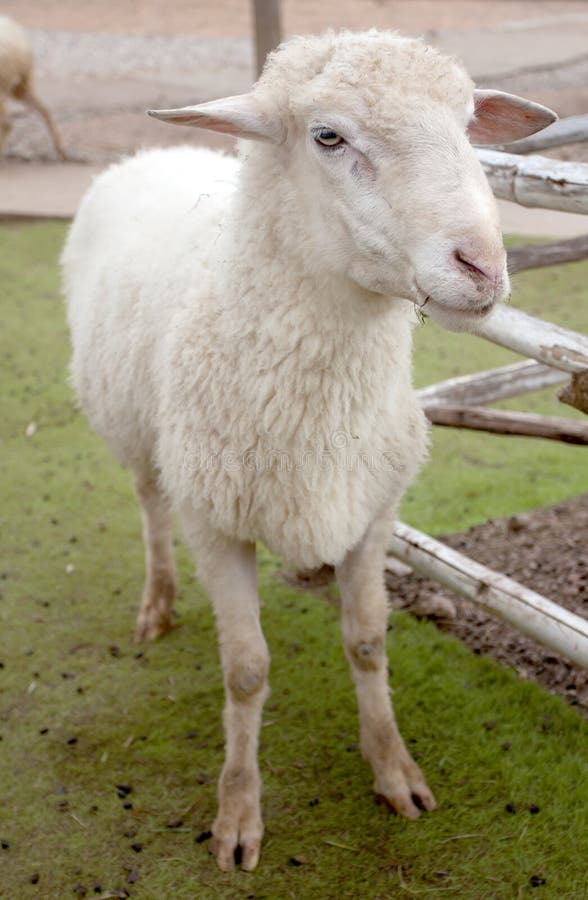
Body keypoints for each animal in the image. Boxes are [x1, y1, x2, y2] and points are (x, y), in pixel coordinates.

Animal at [61, 30, 555, 872]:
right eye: (328, 137)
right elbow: (246, 670)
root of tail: (154, 150)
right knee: (150, 505)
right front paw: (238, 812)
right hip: (136, 429)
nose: (484, 266)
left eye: (468, 126)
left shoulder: (371, 511)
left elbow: (367, 642)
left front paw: (394, 771)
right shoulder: (216, 523)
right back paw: (157, 601)